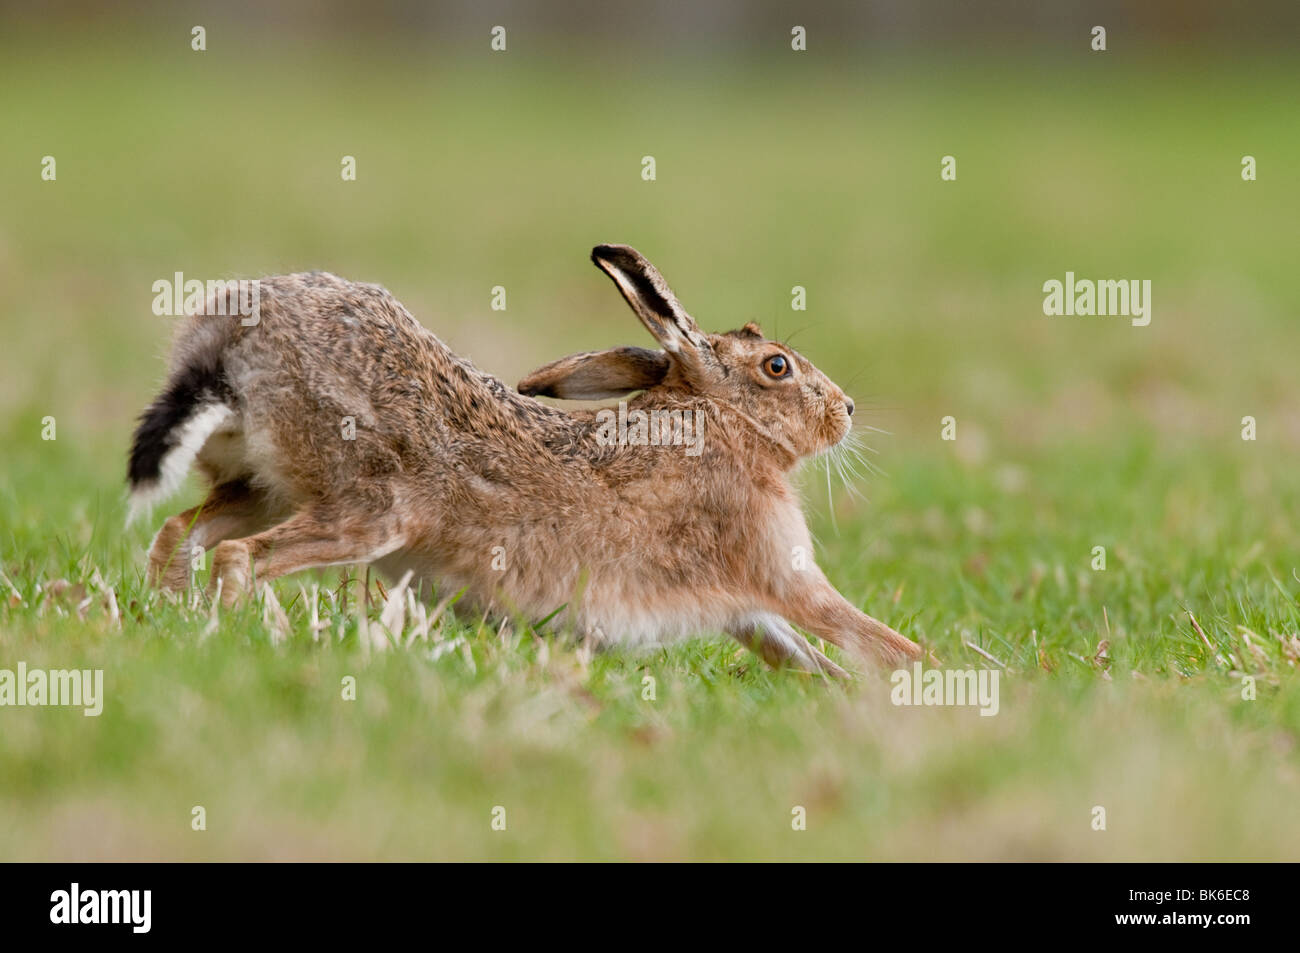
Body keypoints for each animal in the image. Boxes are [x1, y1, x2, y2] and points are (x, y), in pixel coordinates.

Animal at [127, 244, 922, 674]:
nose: (847, 409)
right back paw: (257, 638)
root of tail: (227, 347)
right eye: (776, 366)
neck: (722, 421)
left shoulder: (750, 607)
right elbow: (860, 632)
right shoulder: (781, 574)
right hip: (372, 510)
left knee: (179, 535)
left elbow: (803, 653)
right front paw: (935, 681)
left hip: (265, 486)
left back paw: (170, 622)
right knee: (242, 558)